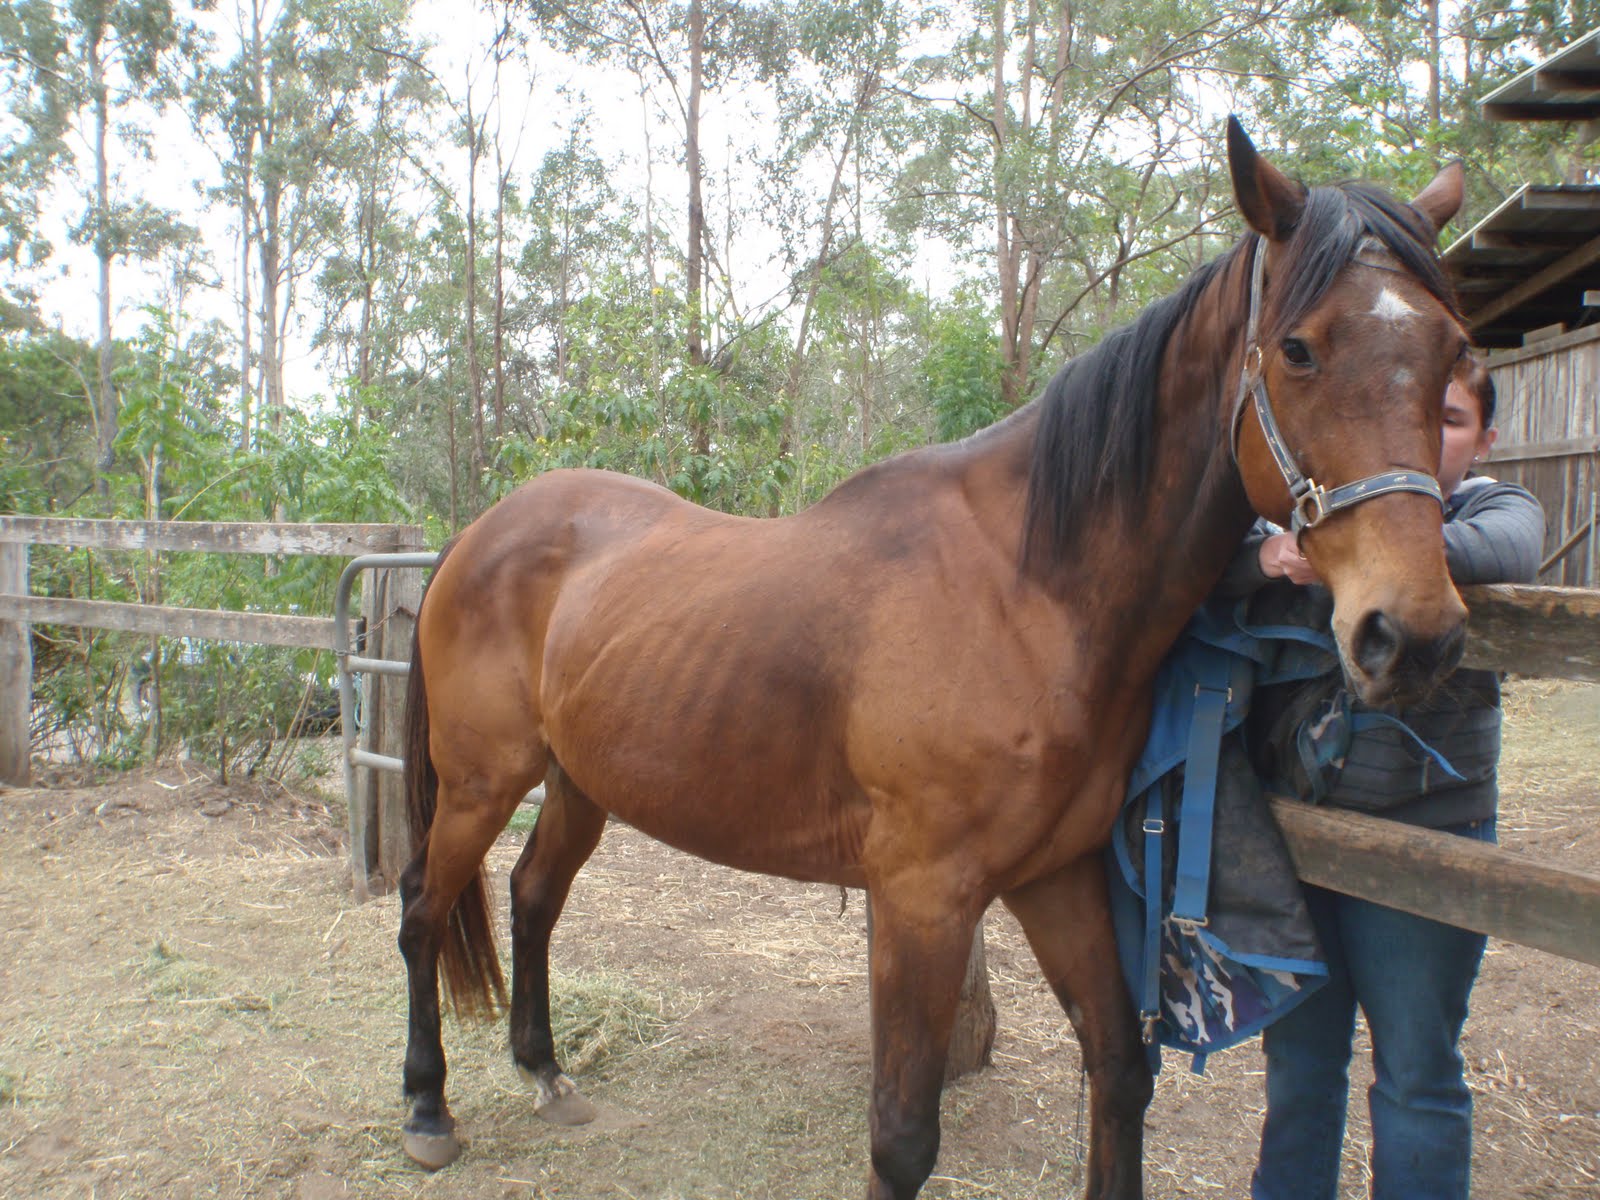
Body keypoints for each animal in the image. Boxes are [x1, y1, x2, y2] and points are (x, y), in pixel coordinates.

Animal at [395, 118, 1470, 1199]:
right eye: (1298, 348)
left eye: (1455, 352)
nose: (1412, 634)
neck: (1027, 591)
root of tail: (478, 533)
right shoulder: (921, 900)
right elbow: (902, 1134)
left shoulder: (1058, 876)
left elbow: (1118, 1069)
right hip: (483, 781)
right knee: (420, 910)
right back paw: (427, 1110)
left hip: (580, 781)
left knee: (532, 898)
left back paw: (543, 1071)